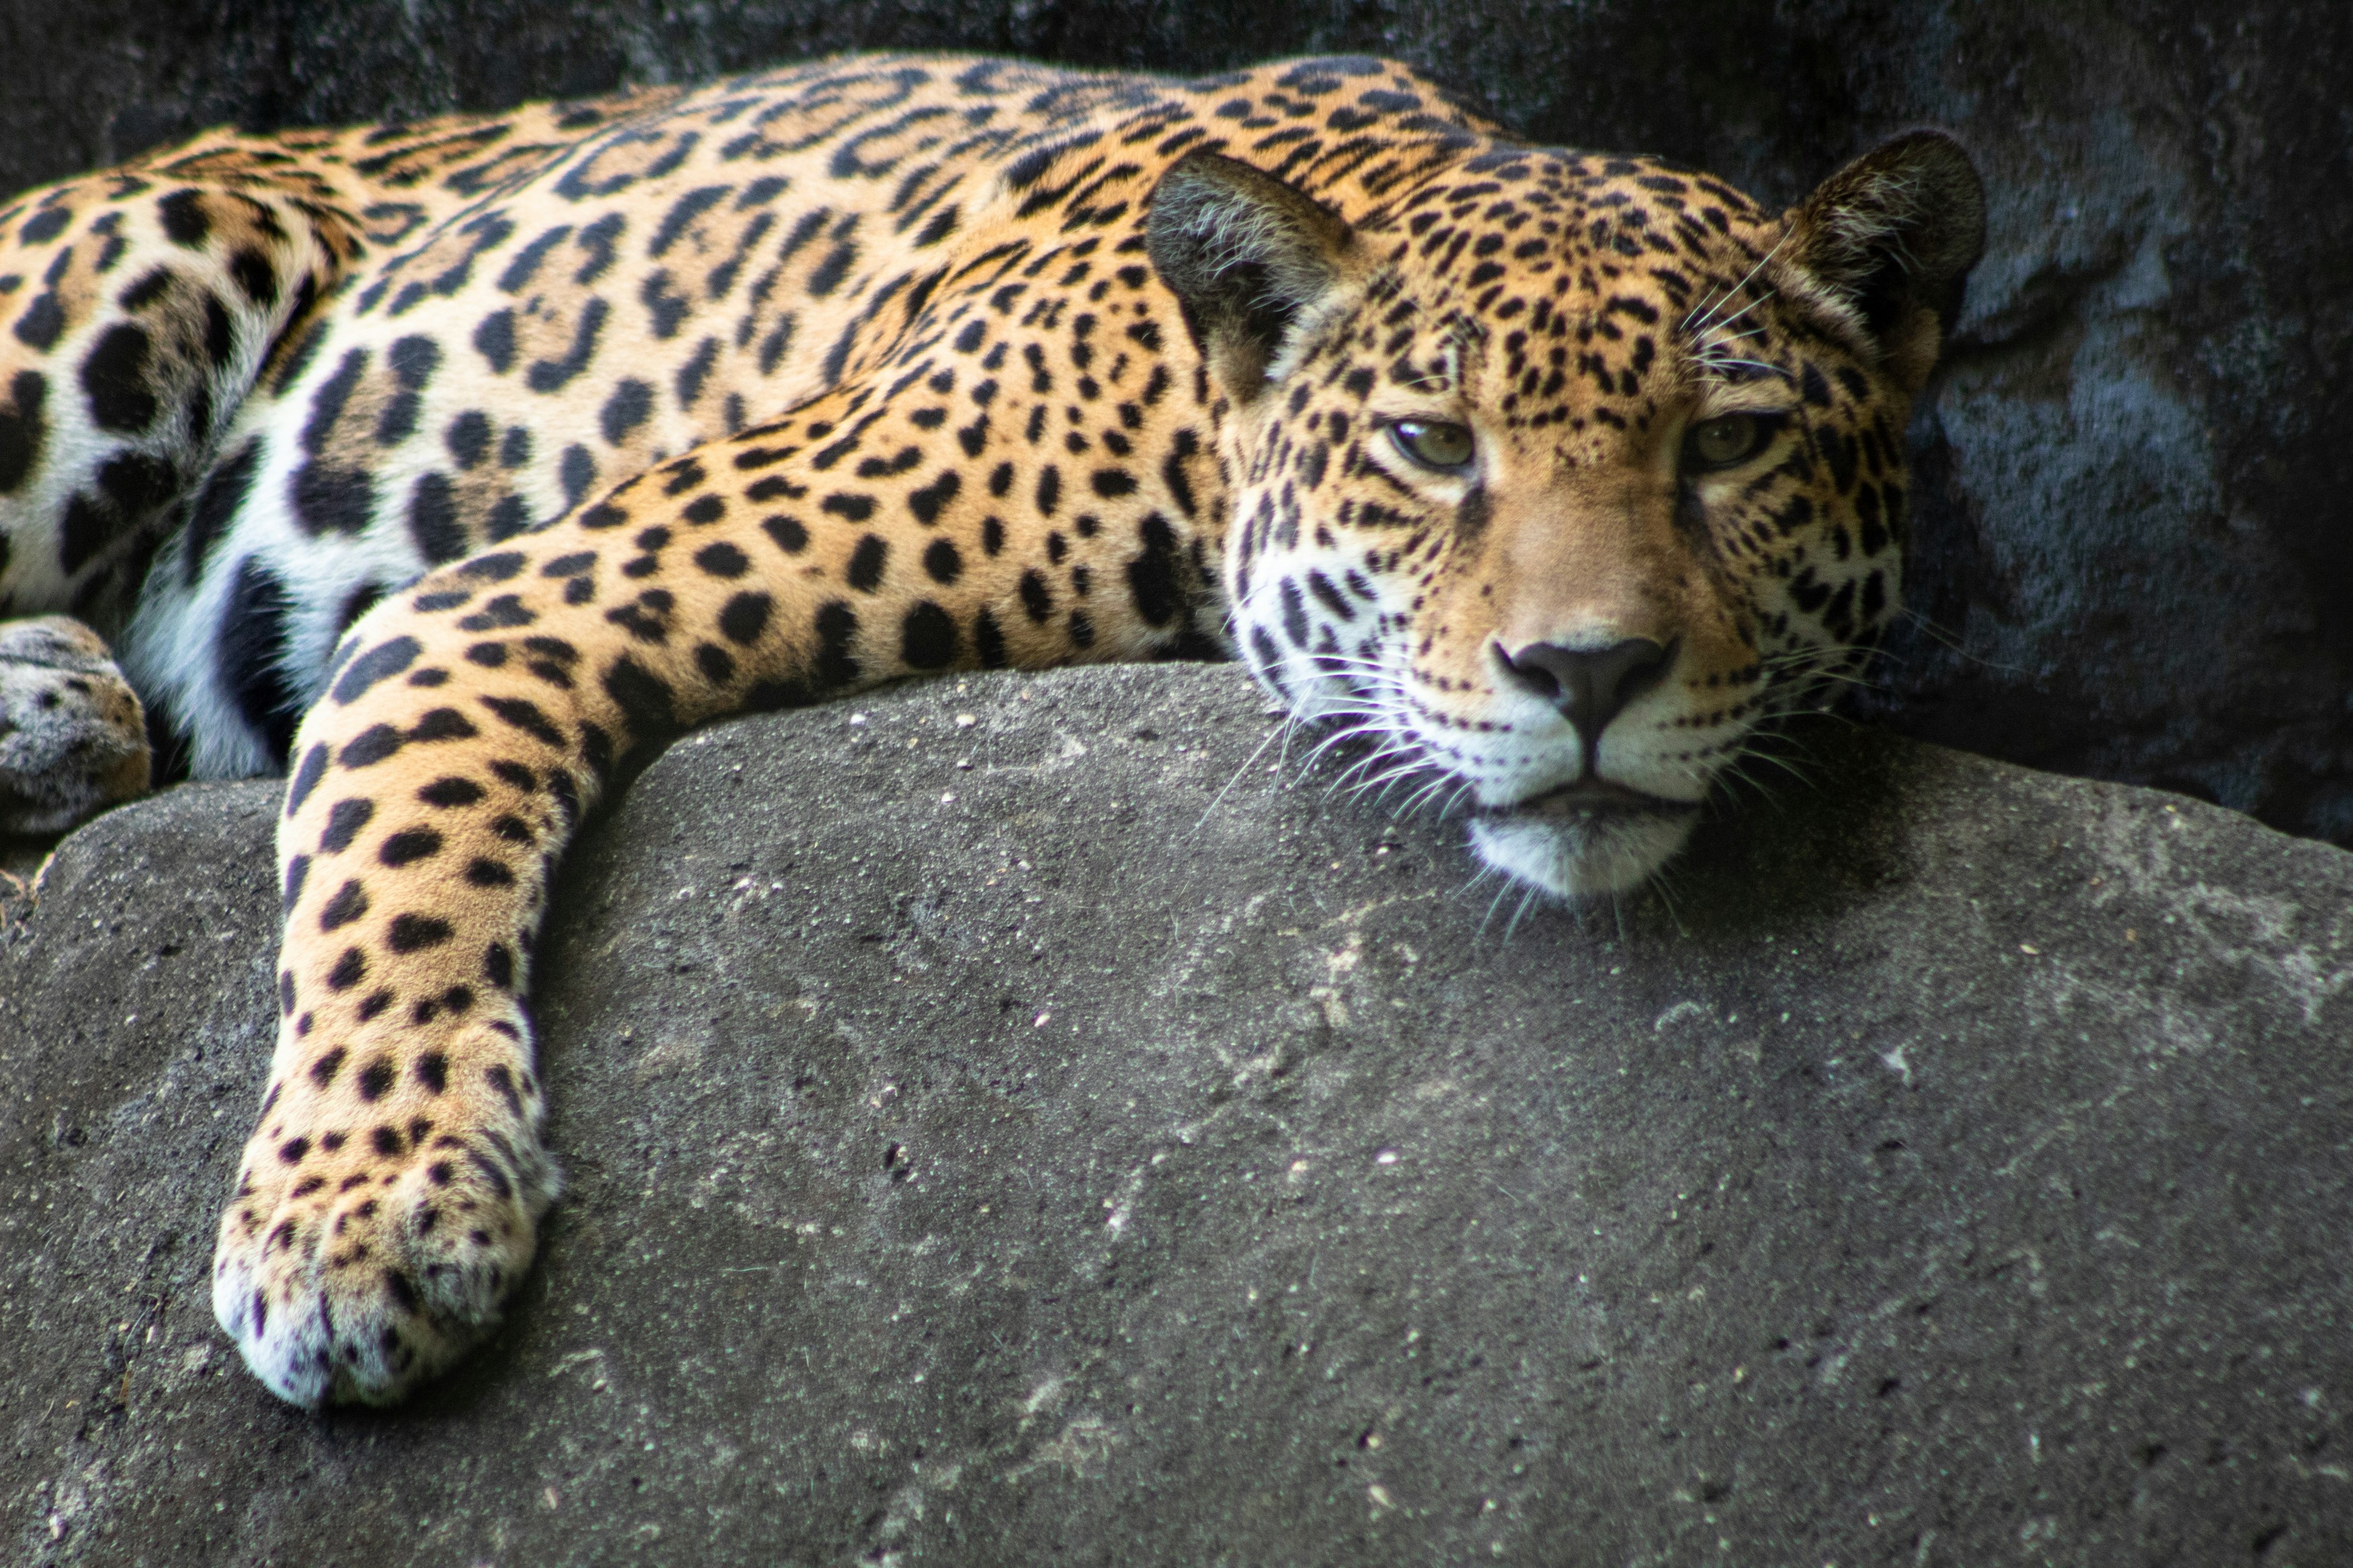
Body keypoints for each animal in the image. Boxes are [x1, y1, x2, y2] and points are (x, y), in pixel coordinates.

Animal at [0, 52, 1984, 1406]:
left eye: (1728, 445)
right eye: (1432, 447)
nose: (1587, 671)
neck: (1200, 419)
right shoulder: (503, 599)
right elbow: (405, 856)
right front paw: (366, 1214)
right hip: (158, 257)